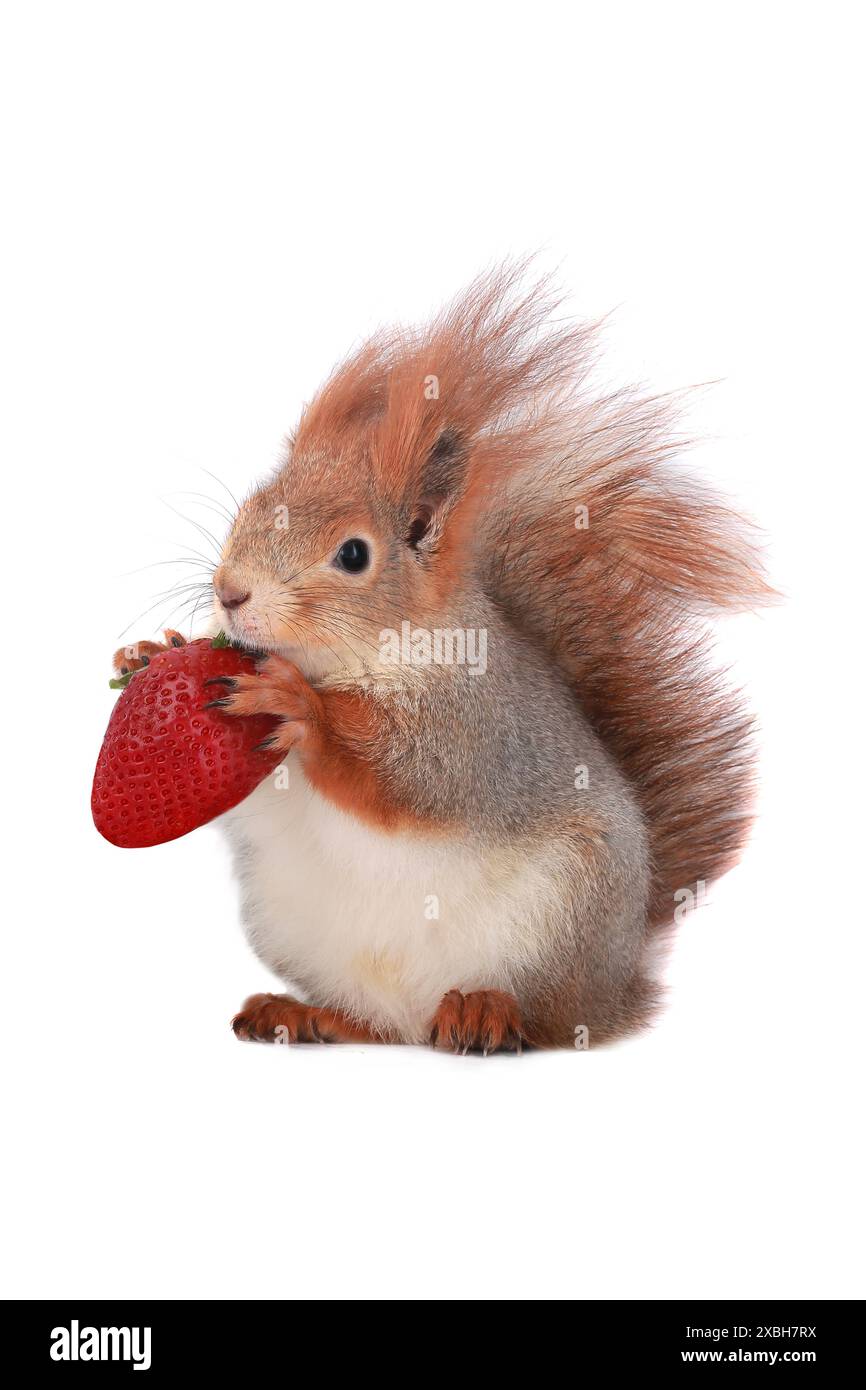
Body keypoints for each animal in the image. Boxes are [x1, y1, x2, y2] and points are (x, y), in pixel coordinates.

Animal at [114, 266, 770, 1052]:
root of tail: (617, 986)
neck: (345, 659)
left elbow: (412, 780)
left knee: (545, 1020)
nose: (229, 593)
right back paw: (305, 1015)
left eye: (354, 555)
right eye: (251, 505)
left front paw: (301, 708)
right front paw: (156, 650)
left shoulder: (473, 723)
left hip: (560, 921)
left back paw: (484, 1011)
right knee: (378, 1027)